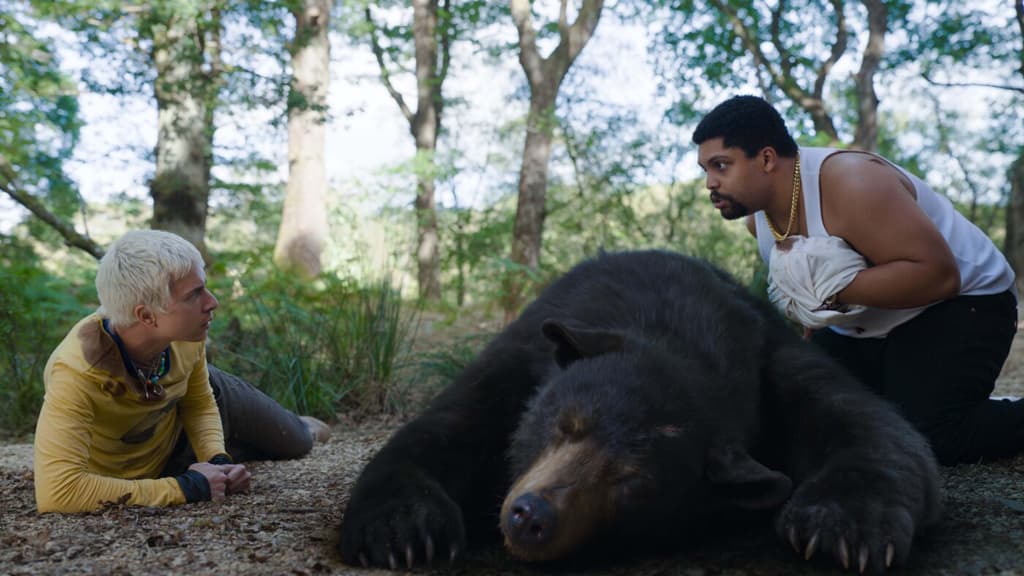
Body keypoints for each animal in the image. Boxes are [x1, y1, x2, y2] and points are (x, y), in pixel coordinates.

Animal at [339, 249, 942, 574]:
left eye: (631, 482)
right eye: (565, 425)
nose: (532, 516)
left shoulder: (772, 355)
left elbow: (874, 427)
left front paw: (844, 527)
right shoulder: (523, 353)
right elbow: (444, 428)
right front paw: (406, 530)